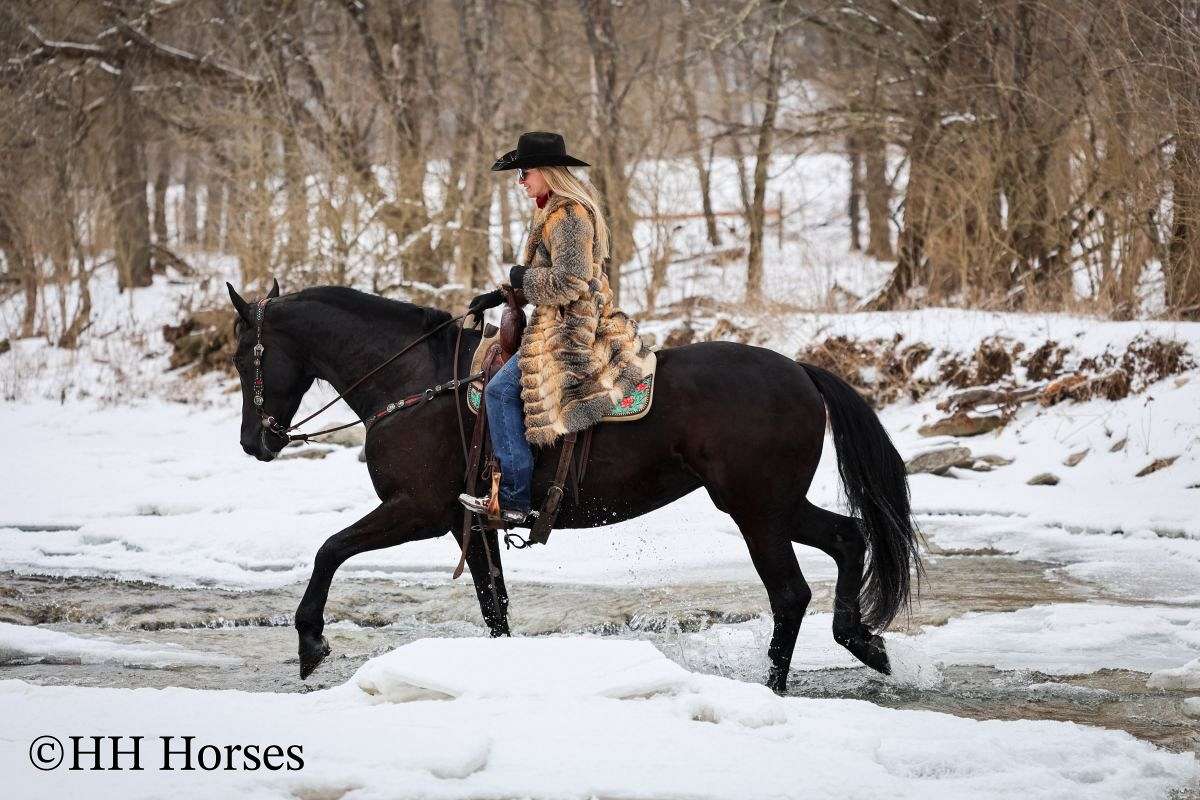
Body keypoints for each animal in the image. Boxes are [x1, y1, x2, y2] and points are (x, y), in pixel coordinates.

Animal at [225, 281, 921, 692]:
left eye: (239, 357)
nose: (254, 443)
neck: (417, 385)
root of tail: (800, 371)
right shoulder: (469, 523)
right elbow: (495, 606)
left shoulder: (416, 510)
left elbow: (329, 550)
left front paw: (311, 642)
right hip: (775, 506)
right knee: (847, 537)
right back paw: (862, 642)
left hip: (756, 511)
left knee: (790, 592)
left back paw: (775, 684)